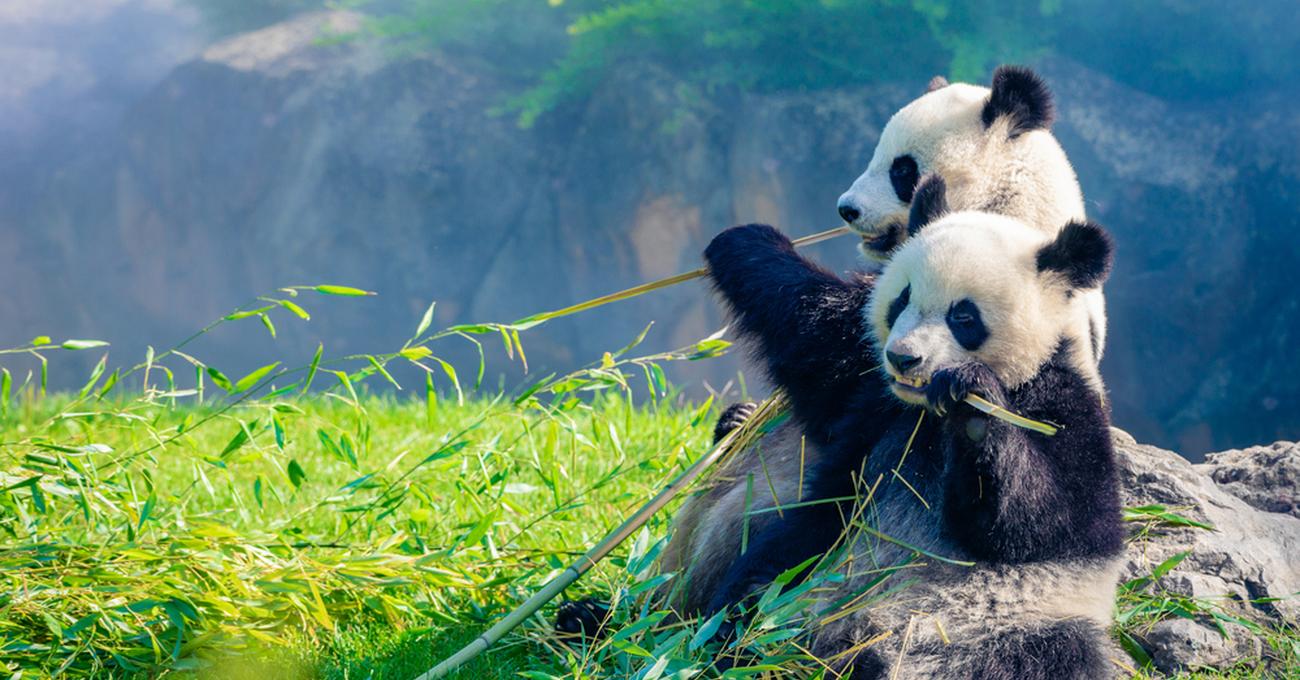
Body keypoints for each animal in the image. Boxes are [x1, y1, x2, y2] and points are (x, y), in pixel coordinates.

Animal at [690, 196, 1124, 678]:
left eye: (963, 316)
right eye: (901, 300)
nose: (903, 358)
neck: (927, 415)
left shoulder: (1064, 402)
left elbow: (1045, 521)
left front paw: (973, 402)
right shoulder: (875, 407)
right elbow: (816, 341)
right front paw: (744, 242)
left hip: (1014, 624)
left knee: (1057, 655)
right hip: (807, 571)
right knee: (757, 589)